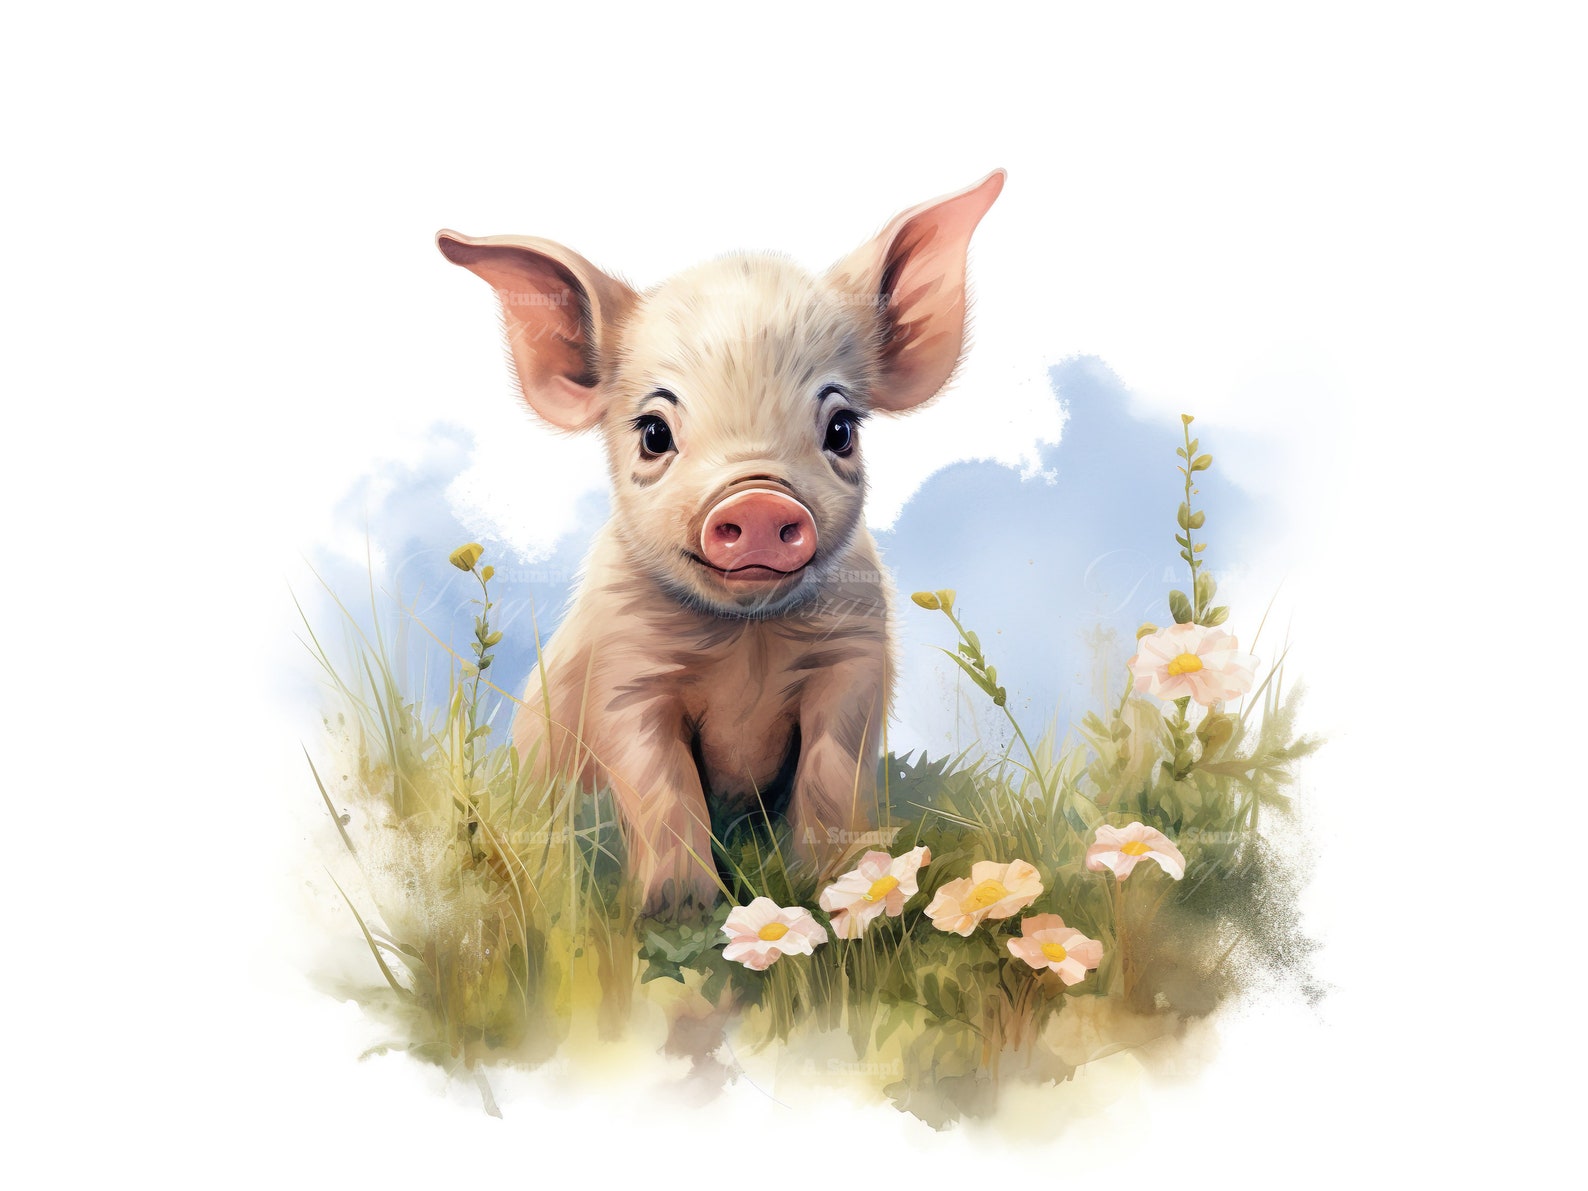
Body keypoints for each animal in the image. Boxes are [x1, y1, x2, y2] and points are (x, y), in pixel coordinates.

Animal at [437, 170, 1004, 913]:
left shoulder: (855, 661)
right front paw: (679, 911)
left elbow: (833, 778)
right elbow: (663, 790)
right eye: (654, 432)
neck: (747, 641)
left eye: (842, 428)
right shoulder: (624, 675)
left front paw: (843, 889)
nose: (758, 500)